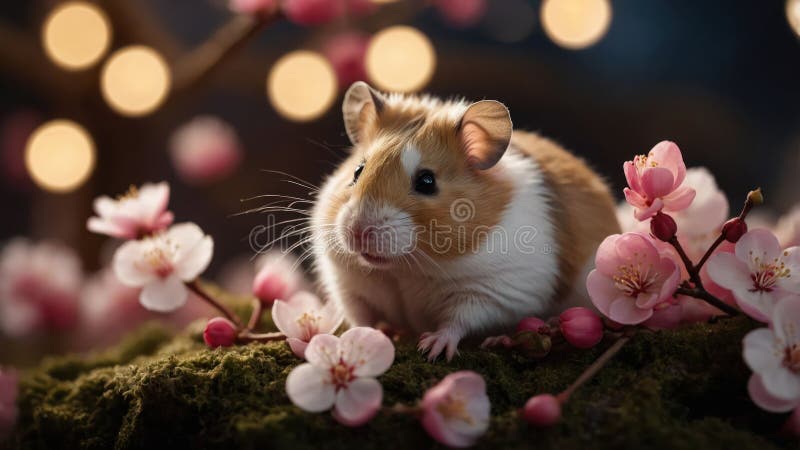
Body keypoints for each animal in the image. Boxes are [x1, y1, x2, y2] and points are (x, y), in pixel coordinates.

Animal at [310, 81, 620, 361]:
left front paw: (432, 348)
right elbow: (361, 318)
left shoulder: (496, 290)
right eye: (357, 171)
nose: (357, 232)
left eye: (426, 182)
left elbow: (459, 320)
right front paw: (358, 339)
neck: (405, 268)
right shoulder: (348, 285)